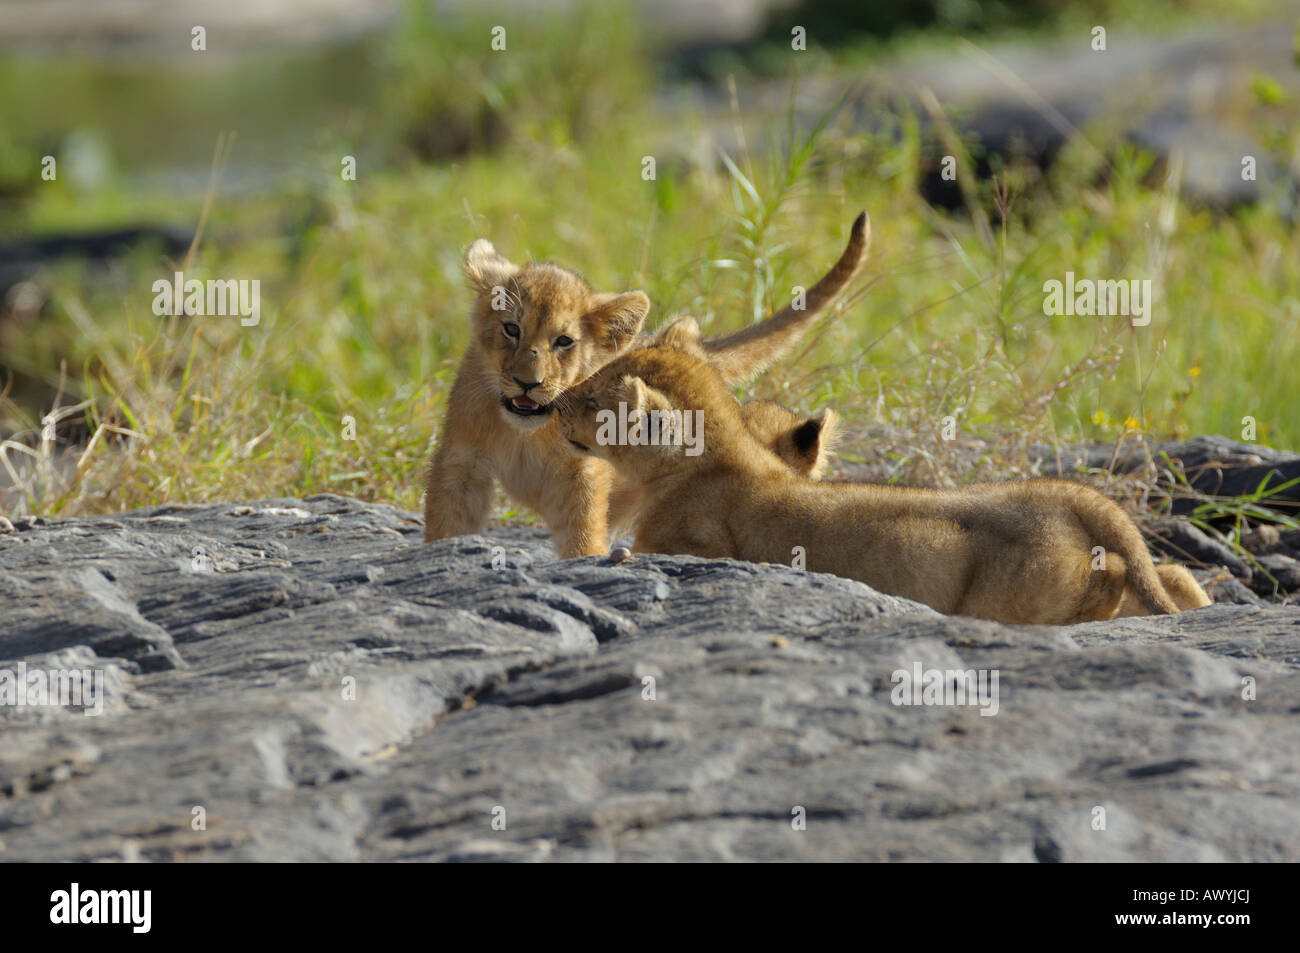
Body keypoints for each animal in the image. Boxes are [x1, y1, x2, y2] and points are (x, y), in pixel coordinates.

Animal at [424, 212, 870, 557]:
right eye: (511, 329)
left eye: (564, 342)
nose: (526, 383)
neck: (526, 433)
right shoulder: (461, 462)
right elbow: (447, 525)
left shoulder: (584, 474)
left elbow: (583, 538)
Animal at [554, 323, 1212, 625]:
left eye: (591, 397)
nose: (554, 403)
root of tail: (1063, 493)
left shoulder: (694, 544)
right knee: (1171, 573)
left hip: (1019, 588)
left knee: (1113, 580)